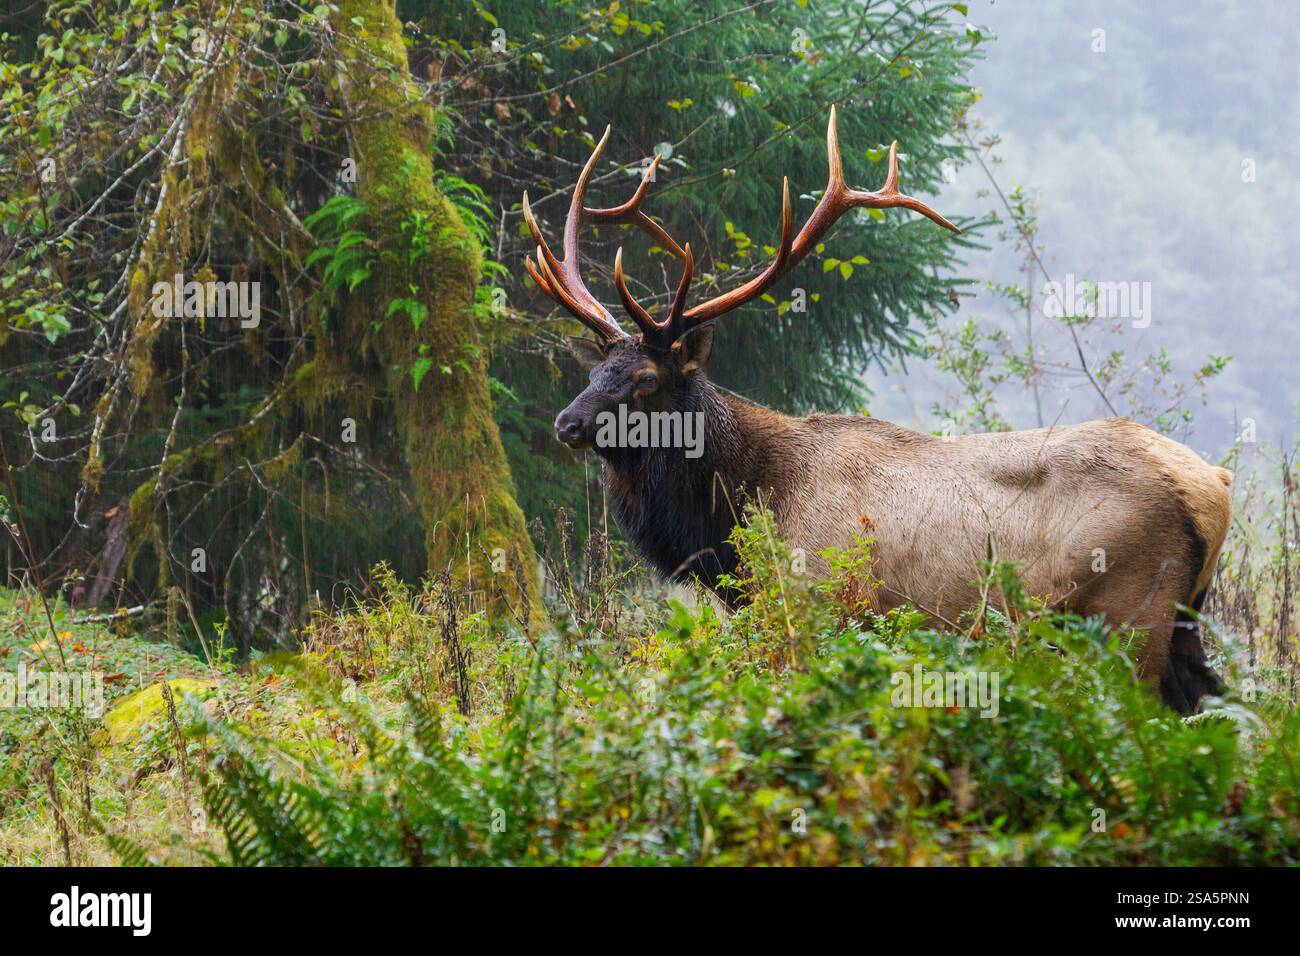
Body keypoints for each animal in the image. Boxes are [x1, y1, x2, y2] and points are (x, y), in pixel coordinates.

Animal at [523, 106, 1231, 715]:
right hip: (1181, 624)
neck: (738, 519)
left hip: (1126, 614)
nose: (566, 423)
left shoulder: (823, 607)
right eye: (595, 371)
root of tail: (1216, 488)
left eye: (644, 379)